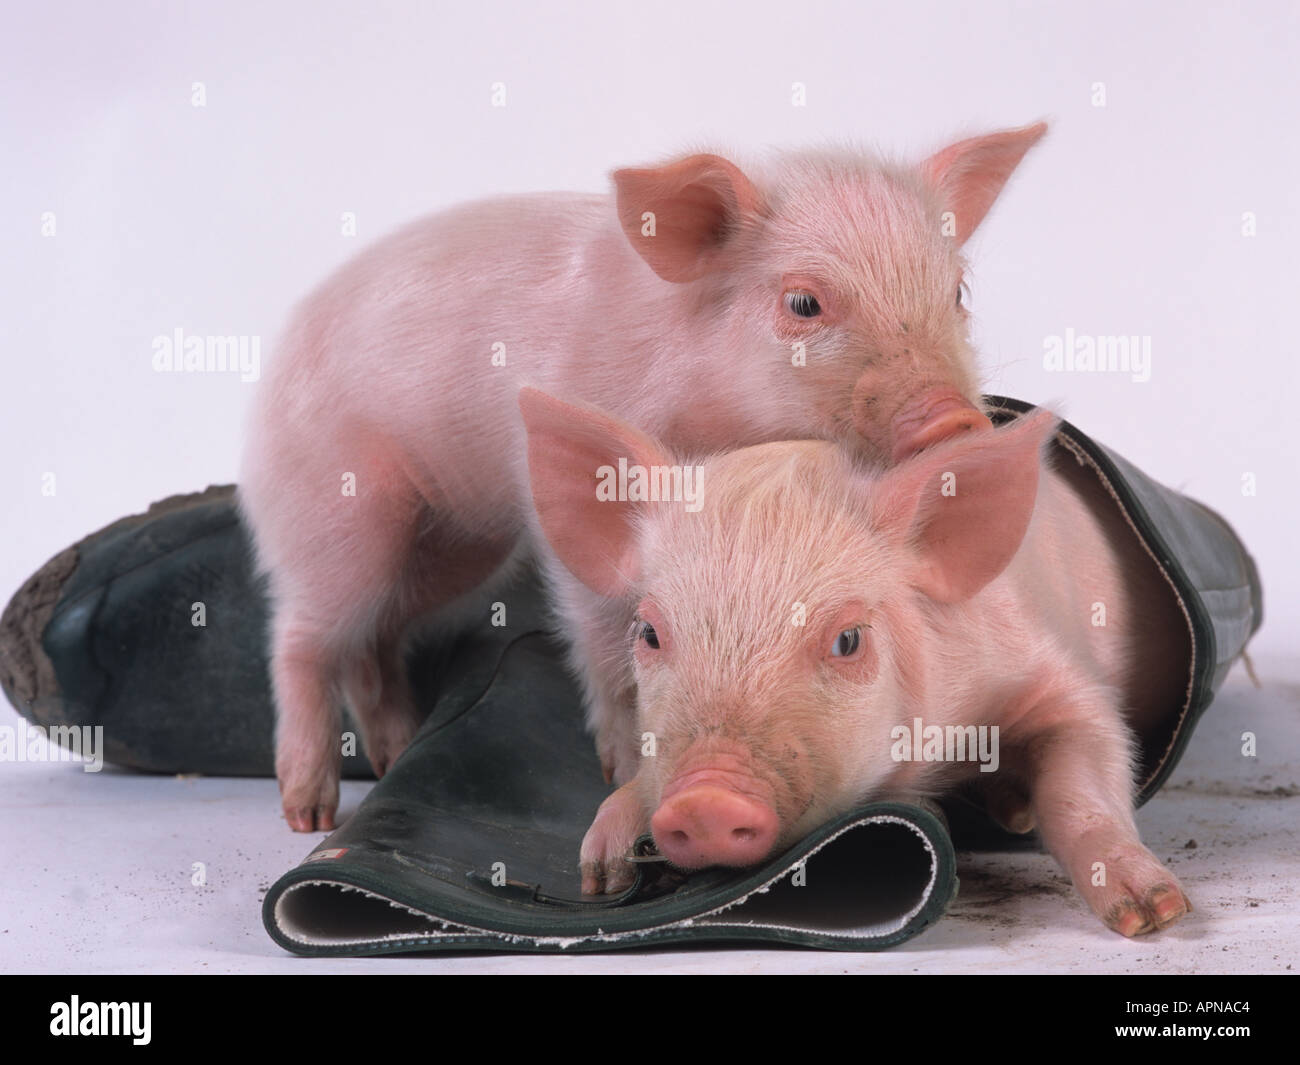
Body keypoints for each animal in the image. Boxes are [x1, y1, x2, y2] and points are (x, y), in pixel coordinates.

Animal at [238, 123, 1048, 831]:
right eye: (804, 302)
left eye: (958, 292)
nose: (954, 418)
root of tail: (272, 373)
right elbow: (604, 635)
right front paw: (625, 770)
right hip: (337, 508)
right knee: (298, 635)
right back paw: (307, 815)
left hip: (449, 545)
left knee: (370, 641)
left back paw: (397, 754)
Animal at [519, 387, 1192, 937]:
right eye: (650, 633)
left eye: (848, 640)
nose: (704, 799)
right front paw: (600, 873)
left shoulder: (1048, 668)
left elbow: (1086, 776)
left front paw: (1154, 914)